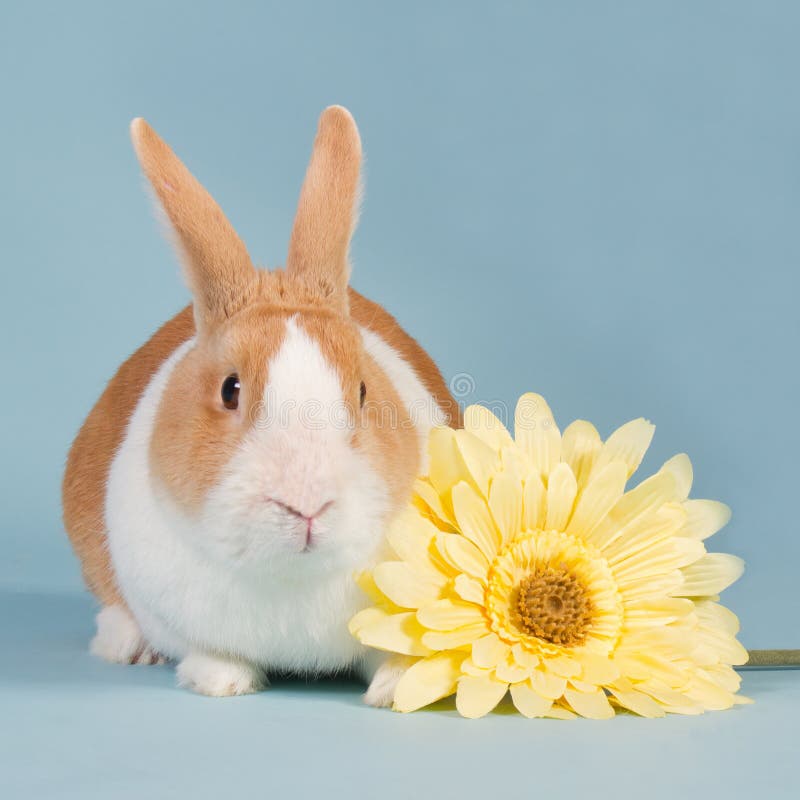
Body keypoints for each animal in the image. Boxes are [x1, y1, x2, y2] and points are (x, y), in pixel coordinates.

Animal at [62, 106, 460, 702]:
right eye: (231, 389)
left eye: (364, 391)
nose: (307, 504)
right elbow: (205, 649)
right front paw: (221, 681)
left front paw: (394, 688)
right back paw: (126, 644)